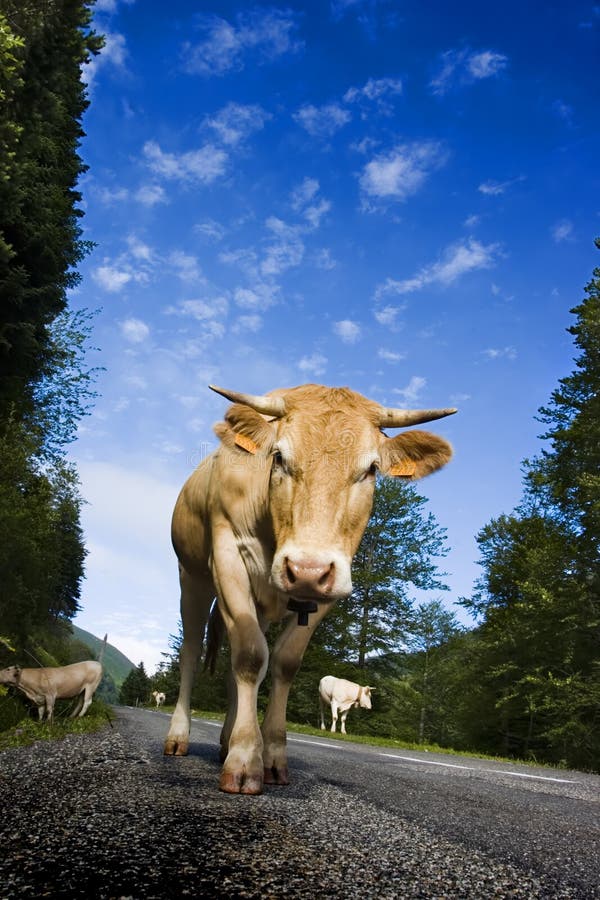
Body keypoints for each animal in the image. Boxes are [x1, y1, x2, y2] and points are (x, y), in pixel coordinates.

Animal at [163, 383, 455, 794]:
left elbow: (281, 662)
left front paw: (269, 754)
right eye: (279, 457)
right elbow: (249, 656)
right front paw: (244, 759)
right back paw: (179, 736)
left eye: (370, 469)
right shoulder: (226, 554)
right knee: (191, 652)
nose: (305, 569)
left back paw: (225, 739)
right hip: (192, 577)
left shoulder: (333, 581)